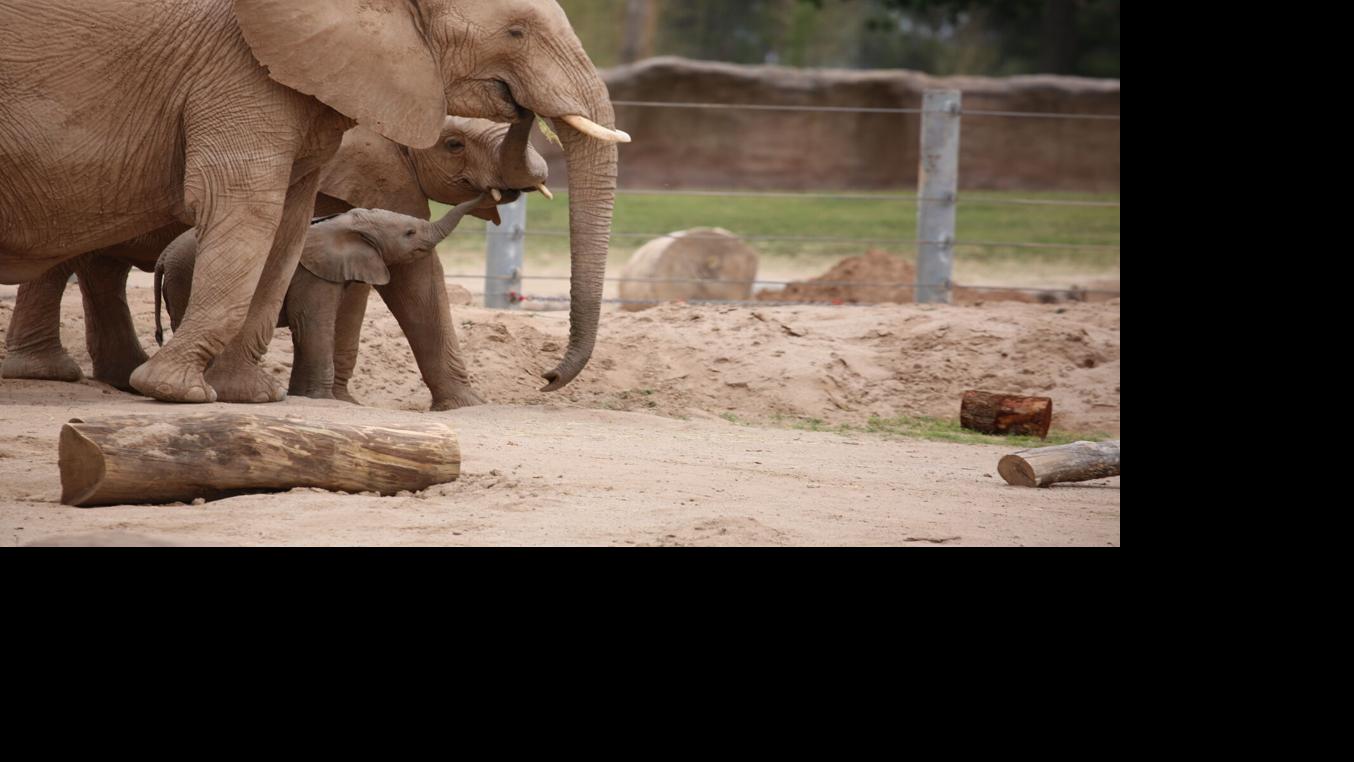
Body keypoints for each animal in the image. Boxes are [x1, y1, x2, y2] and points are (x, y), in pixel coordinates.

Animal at [156, 196, 486, 402]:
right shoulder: (313, 273)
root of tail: (163, 256)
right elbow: (312, 325)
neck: (343, 224)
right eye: (409, 232)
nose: (492, 192)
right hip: (185, 275)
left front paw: (303, 395)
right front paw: (322, 398)